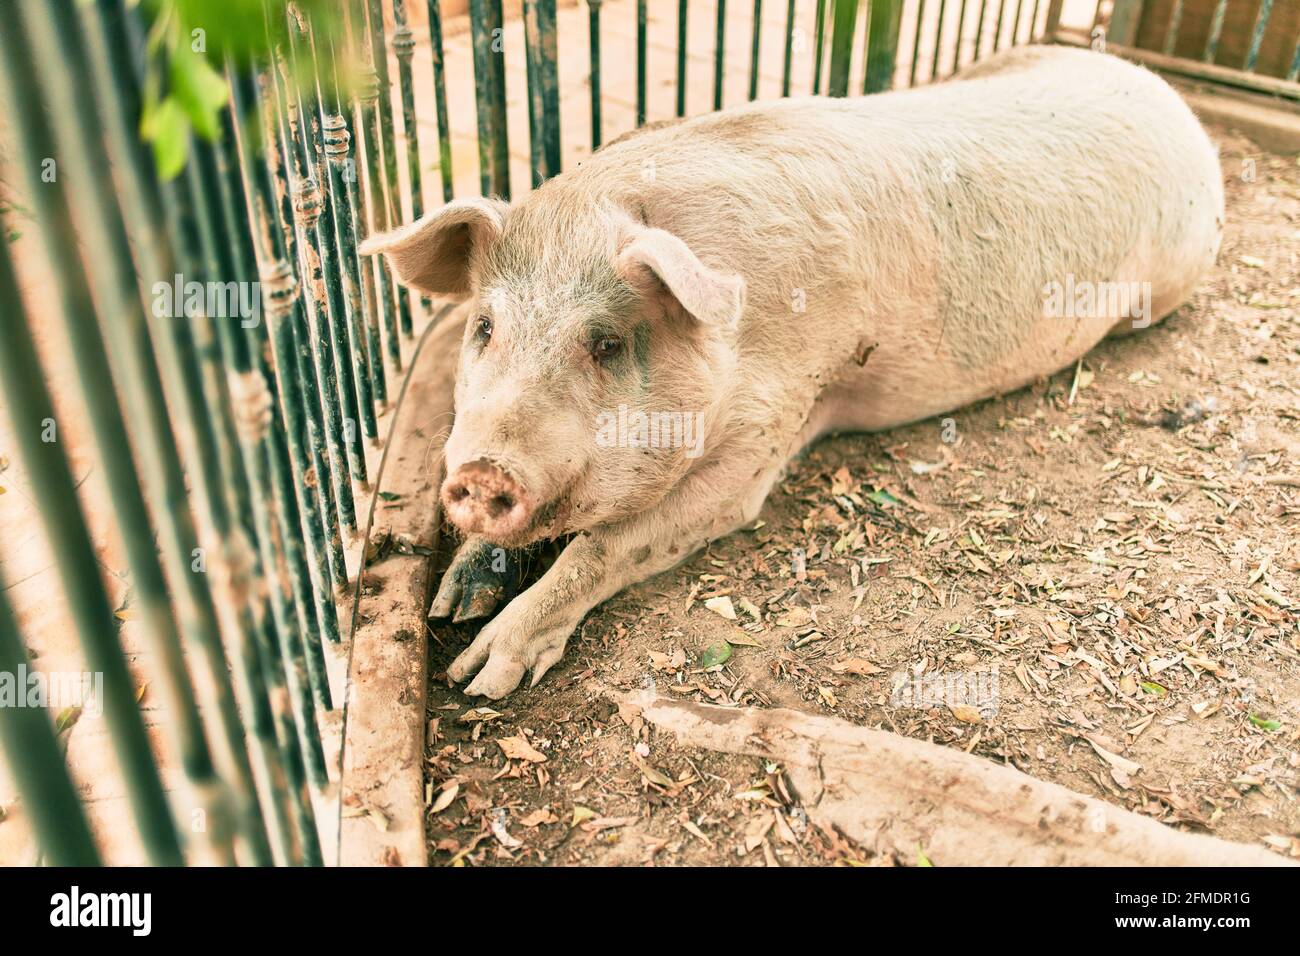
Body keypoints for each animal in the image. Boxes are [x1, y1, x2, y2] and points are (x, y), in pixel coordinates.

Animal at [361, 46, 1223, 698]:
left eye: (605, 343)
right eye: (484, 327)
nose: (482, 472)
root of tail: (1176, 103)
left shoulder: (765, 441)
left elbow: (607, 546)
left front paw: (477, 677)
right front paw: (448, 607)